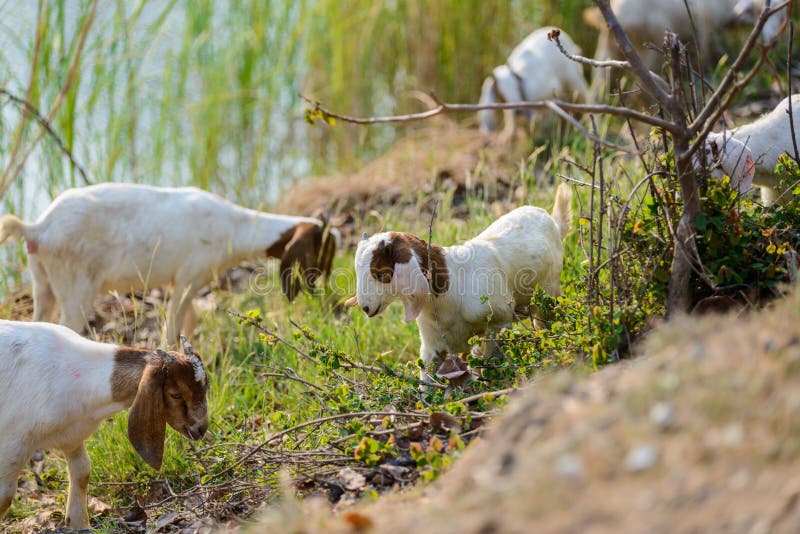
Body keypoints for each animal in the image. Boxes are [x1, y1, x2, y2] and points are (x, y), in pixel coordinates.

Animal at [0, 183, 340, 342]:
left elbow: (189, 322)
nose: (329, 303)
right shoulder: (190, 277)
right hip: (75, 289)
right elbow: (173, 326)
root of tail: (37, 228)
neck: (234, 227)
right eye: (324, 251)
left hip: (42, 282)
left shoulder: (187, 284)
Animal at [0, 322, 208, 529]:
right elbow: (6, 496)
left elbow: (82, 471)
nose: (201, 428)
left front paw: (79, 524)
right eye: (176, 394)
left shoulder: (72, 436)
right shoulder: (13, 445)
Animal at [346, 184, 572, 378]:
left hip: (548, 294)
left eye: (381, 272)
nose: (365, 307)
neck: (452, 287)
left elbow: (489, 362)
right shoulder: (432, 344)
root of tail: (550, 220)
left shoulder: (499, 321)